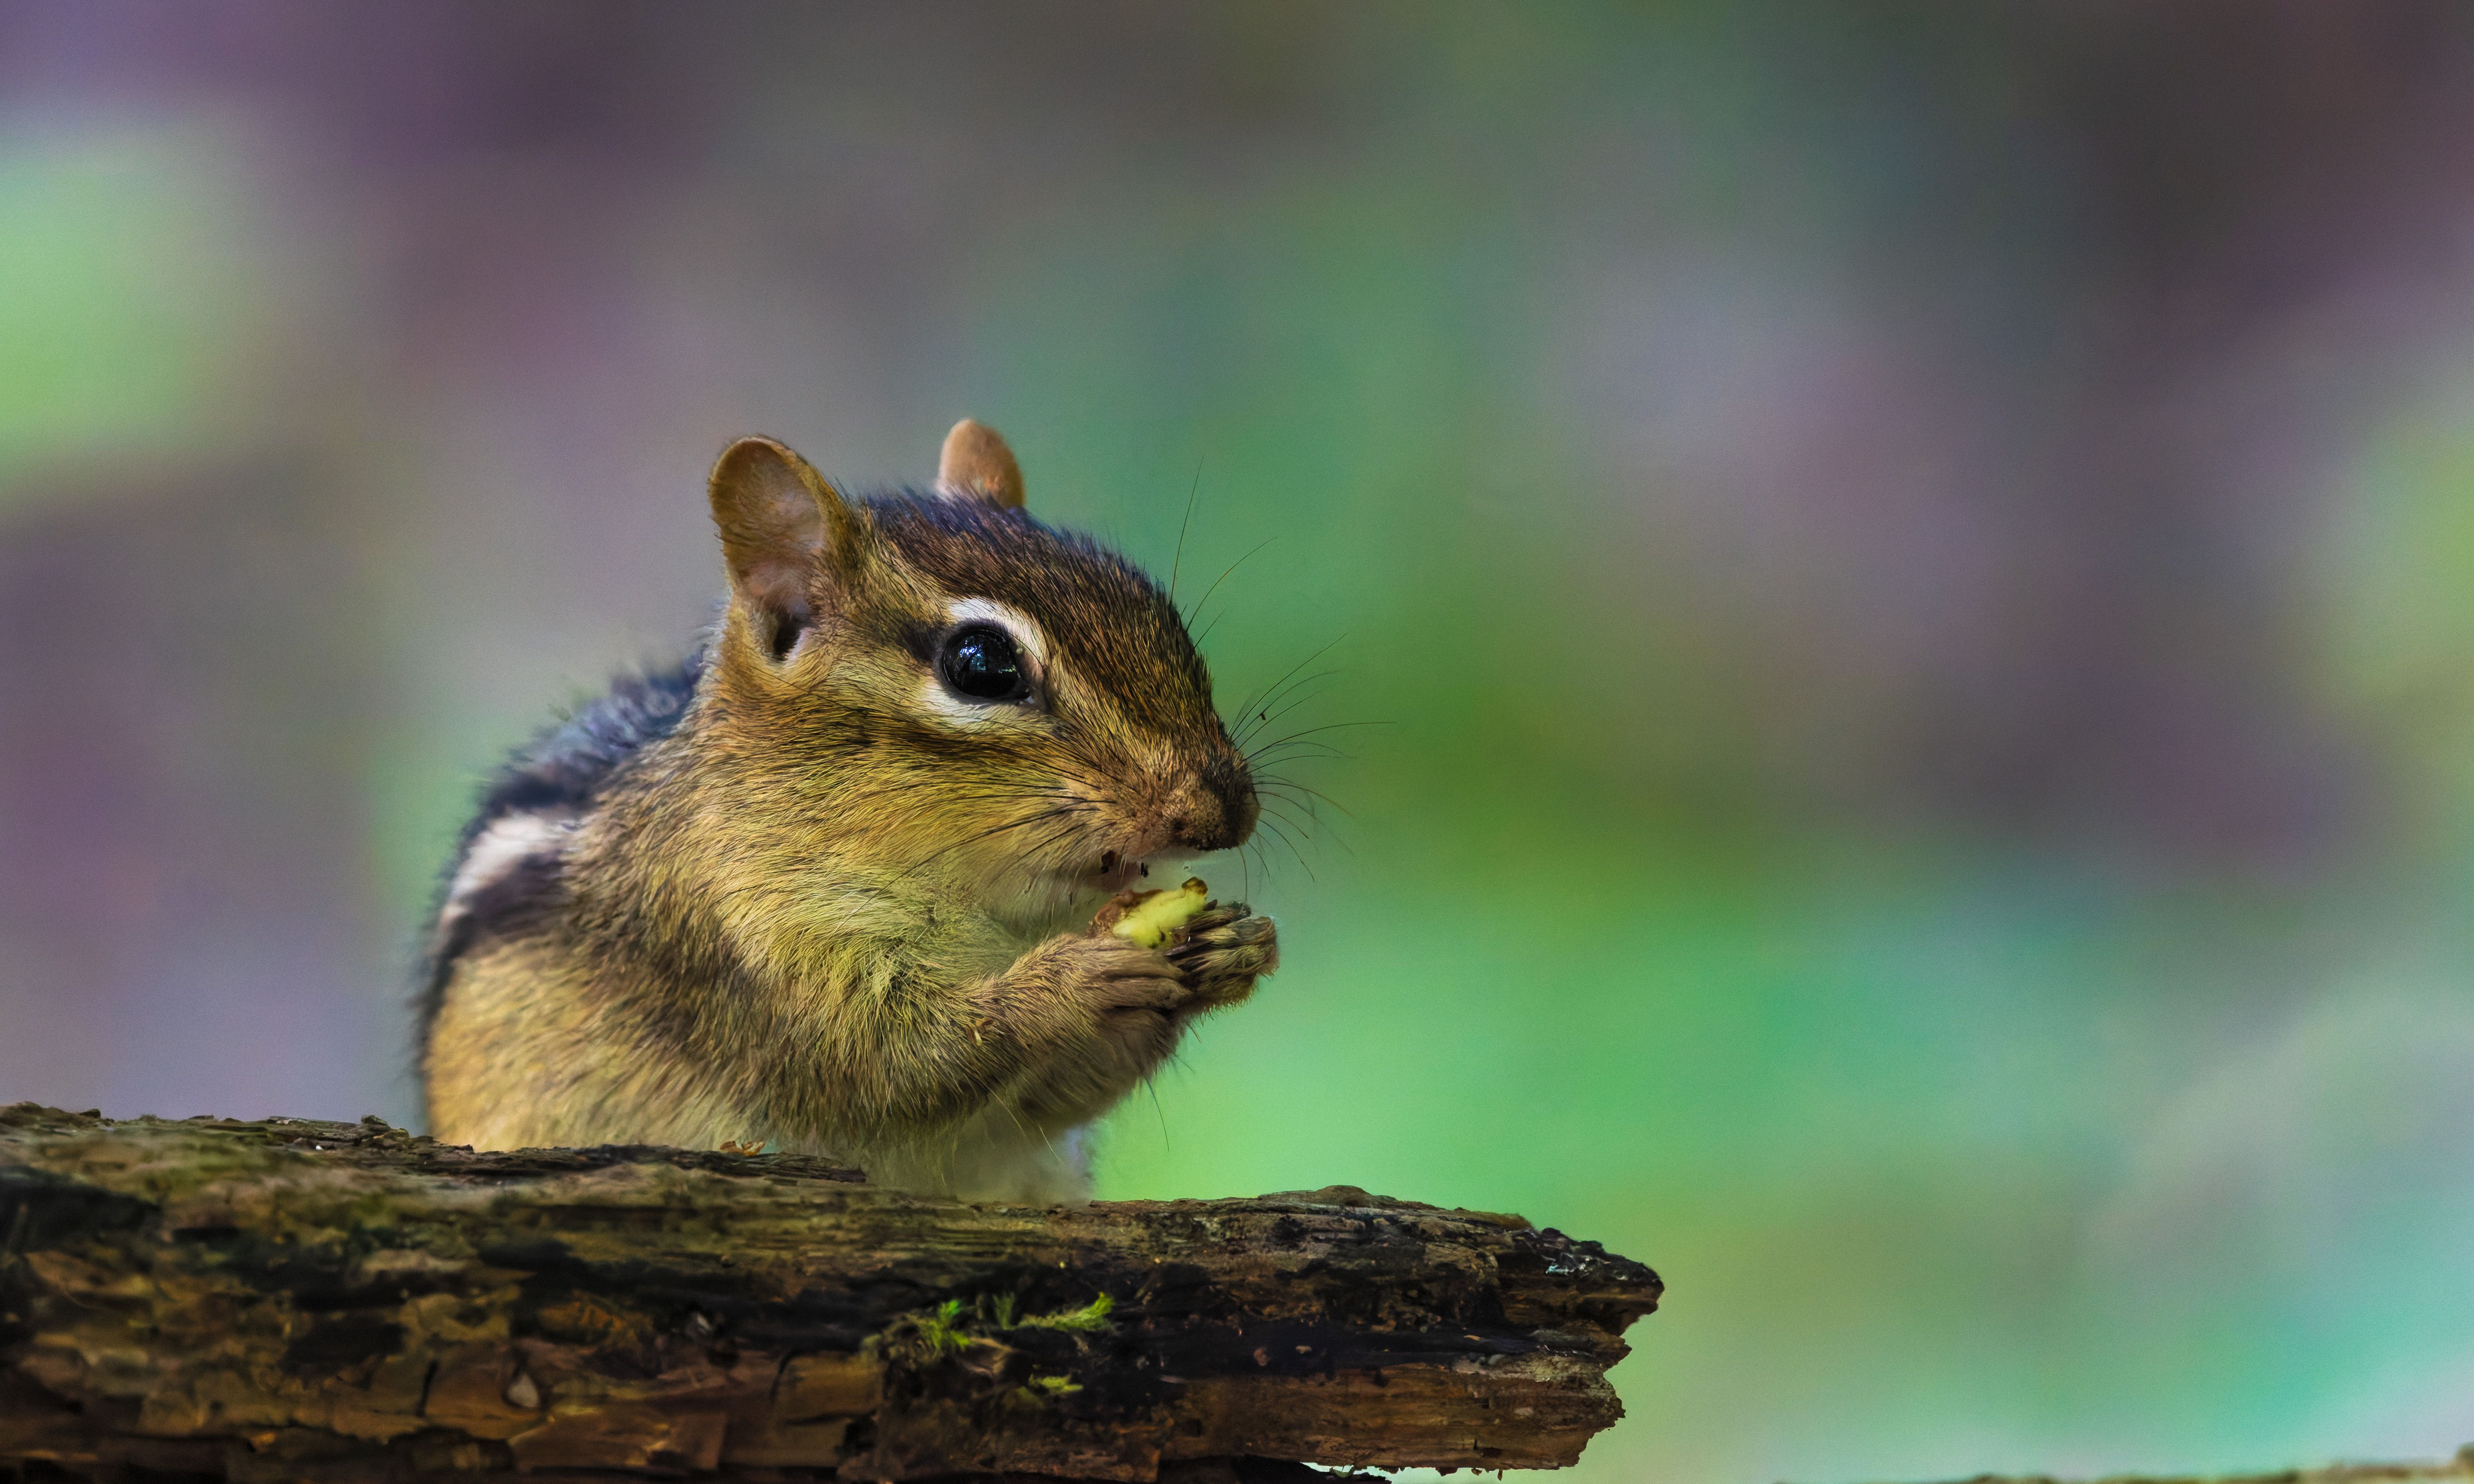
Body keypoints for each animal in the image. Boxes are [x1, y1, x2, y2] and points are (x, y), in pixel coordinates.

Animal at [416, 421, 1276, 1203]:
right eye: (980, 664)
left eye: (1158, 612)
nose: (1224, 810)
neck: (984, 913)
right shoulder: (734, 947)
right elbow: (884, 1063)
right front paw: (1069, 979)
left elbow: (1053, 1094)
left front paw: (1235, 946)